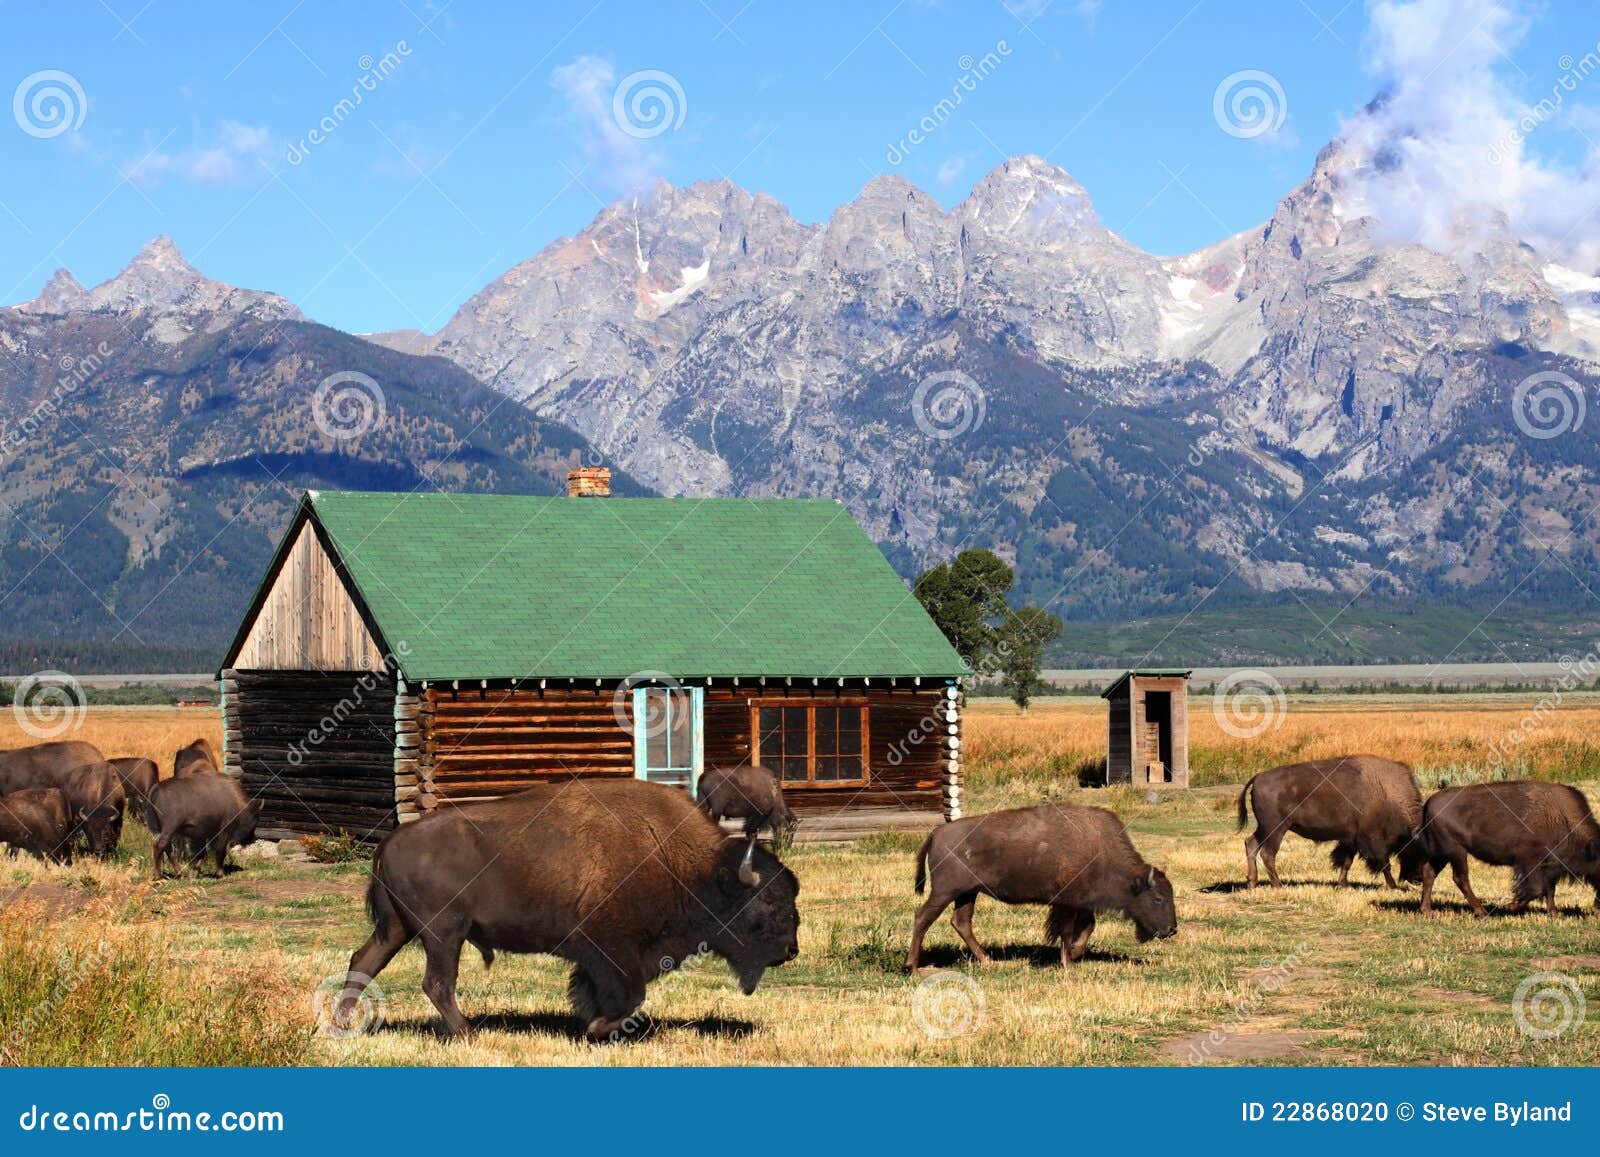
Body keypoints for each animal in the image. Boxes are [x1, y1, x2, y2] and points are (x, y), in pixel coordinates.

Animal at [334, 779, 801, 1041]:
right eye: (767, 902)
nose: (791, 950)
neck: (691, 867)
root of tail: (390, 842)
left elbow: (601, 992)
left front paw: (591, 1021)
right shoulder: (613, 948)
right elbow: (630, 993)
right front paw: (597, 1029)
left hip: (397, 928)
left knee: (364, 961)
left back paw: (341, 1024)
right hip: (443, 933)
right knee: (437, 982)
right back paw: (469, 1035)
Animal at [906, 803, 1177, 971]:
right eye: (1158, 898)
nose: (1172, 930)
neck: (1101, 849)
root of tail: (937, 832)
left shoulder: (1082, 904)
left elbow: (1088, 927)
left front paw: (1074, 955)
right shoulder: (1067, 903)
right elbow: (1067, 931)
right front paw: (1068, 962)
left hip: (967, 894)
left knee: (961, 922)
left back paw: (989, 961)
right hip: (944, 892)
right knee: (923, 917)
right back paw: (912, 967)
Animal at [1237, 755, 1423, 889]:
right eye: (1416, 850)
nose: (1418, 879)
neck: (1385, 792)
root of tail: (1258, 777)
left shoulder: (1351, 839)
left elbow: (1347, 862)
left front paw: (1342, 885)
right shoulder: (1371, 838)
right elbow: (1384, 863)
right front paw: (1393, 886)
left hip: (1265, 829)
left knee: (1251, 844)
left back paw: (1252, 883)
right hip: (1276, 829)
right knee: (1268, 854)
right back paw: (1278, 885)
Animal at [1418, 781, 1600, 917]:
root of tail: (1429, 802)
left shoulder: (1549, 866)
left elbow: (1549, 889)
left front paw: (1554, 913)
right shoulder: (1530, 861)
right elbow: (1536, 888)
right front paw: (1511, 906)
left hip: (1442, 855)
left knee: (1430, 873)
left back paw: (1427, 911)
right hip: (1456, 852)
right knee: (1460, 878)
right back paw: (1482, 912)